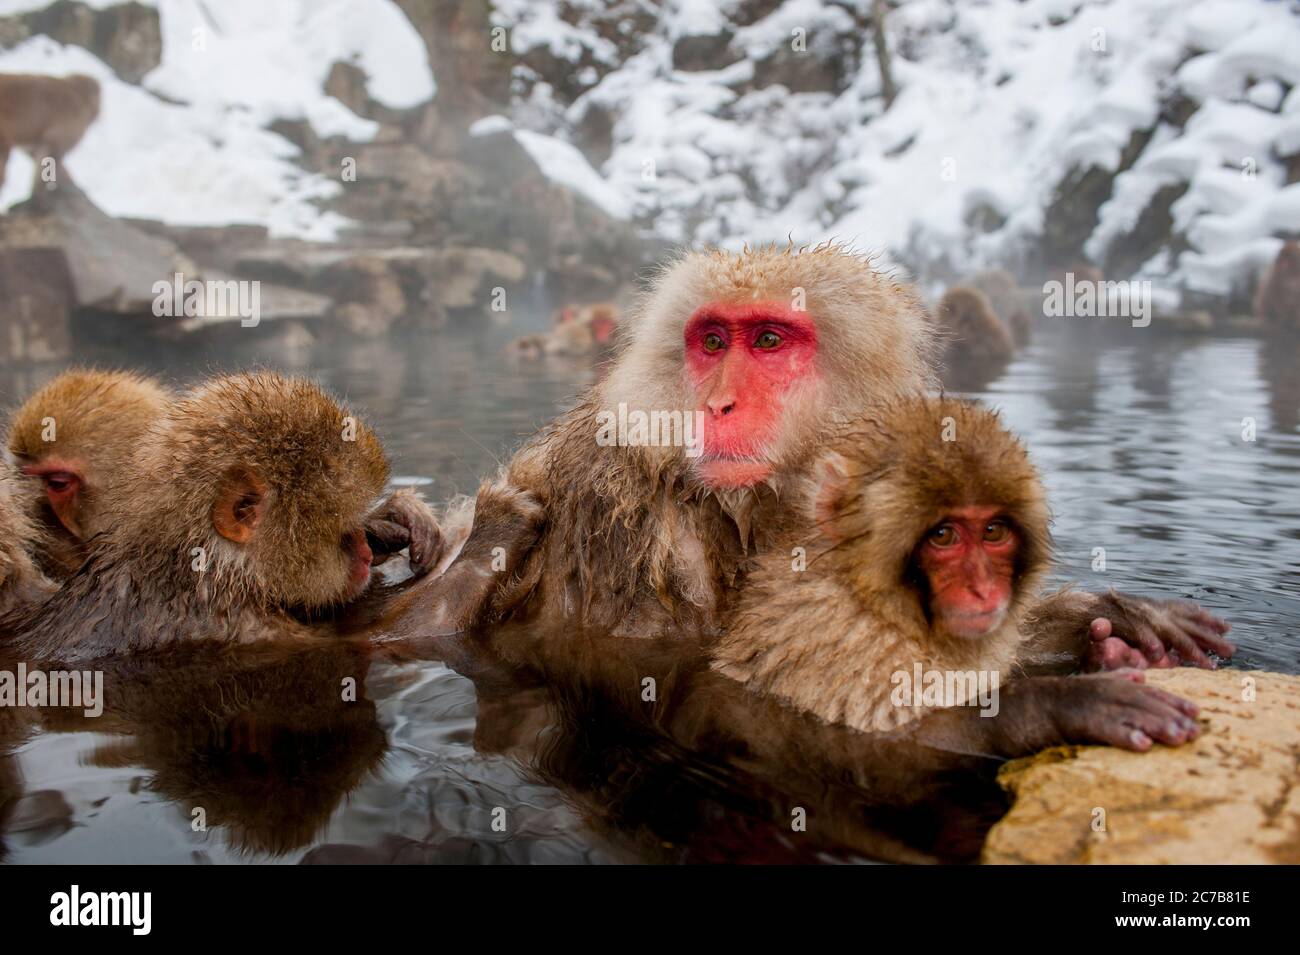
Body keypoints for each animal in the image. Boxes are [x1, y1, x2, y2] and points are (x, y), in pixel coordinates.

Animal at [711, 395, 1200, 752]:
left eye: (993, 531)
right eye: (943, 536)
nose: (983, 589)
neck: (874, 600)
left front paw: (1113, 622)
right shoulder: (837, 639)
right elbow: (896, 734)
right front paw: (1064, 703)